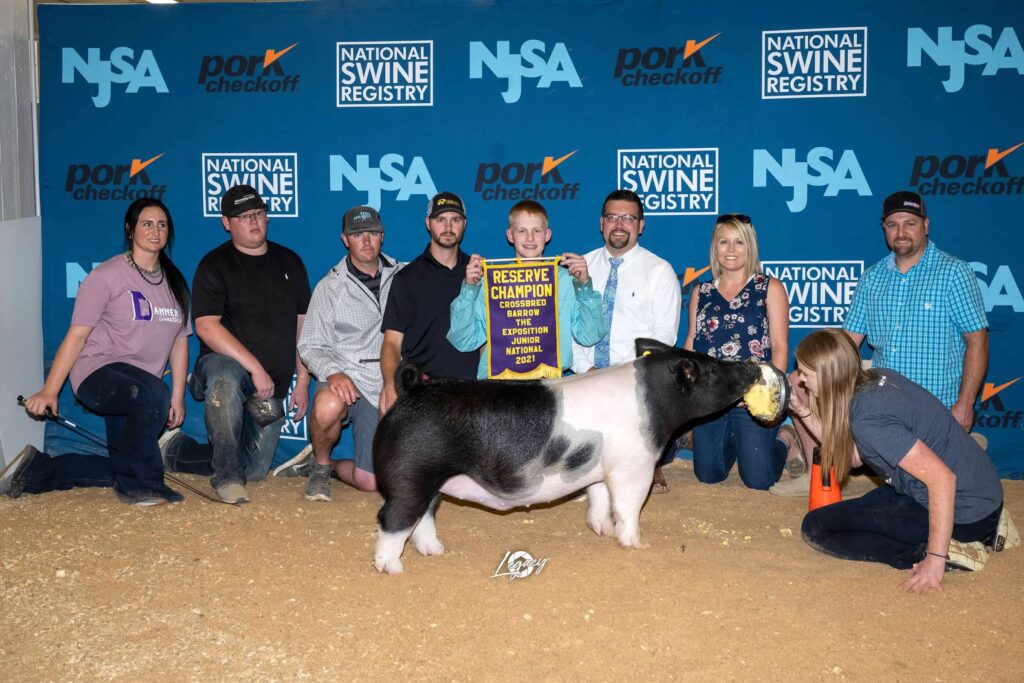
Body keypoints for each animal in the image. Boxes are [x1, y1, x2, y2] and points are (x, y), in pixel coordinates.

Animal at [373, 338, 763, 574]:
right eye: (711, 369)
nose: (752, 365)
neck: (655, 403)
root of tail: (412, 389)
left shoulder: (601, 468)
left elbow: (599, 498)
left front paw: (602, 530)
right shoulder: (634, 466)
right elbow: (629, 507)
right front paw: (638, 544)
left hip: (432, 481)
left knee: (423, 519)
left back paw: (437, 551)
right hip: (411, 475)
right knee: (392, 520)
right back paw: (392, 568)